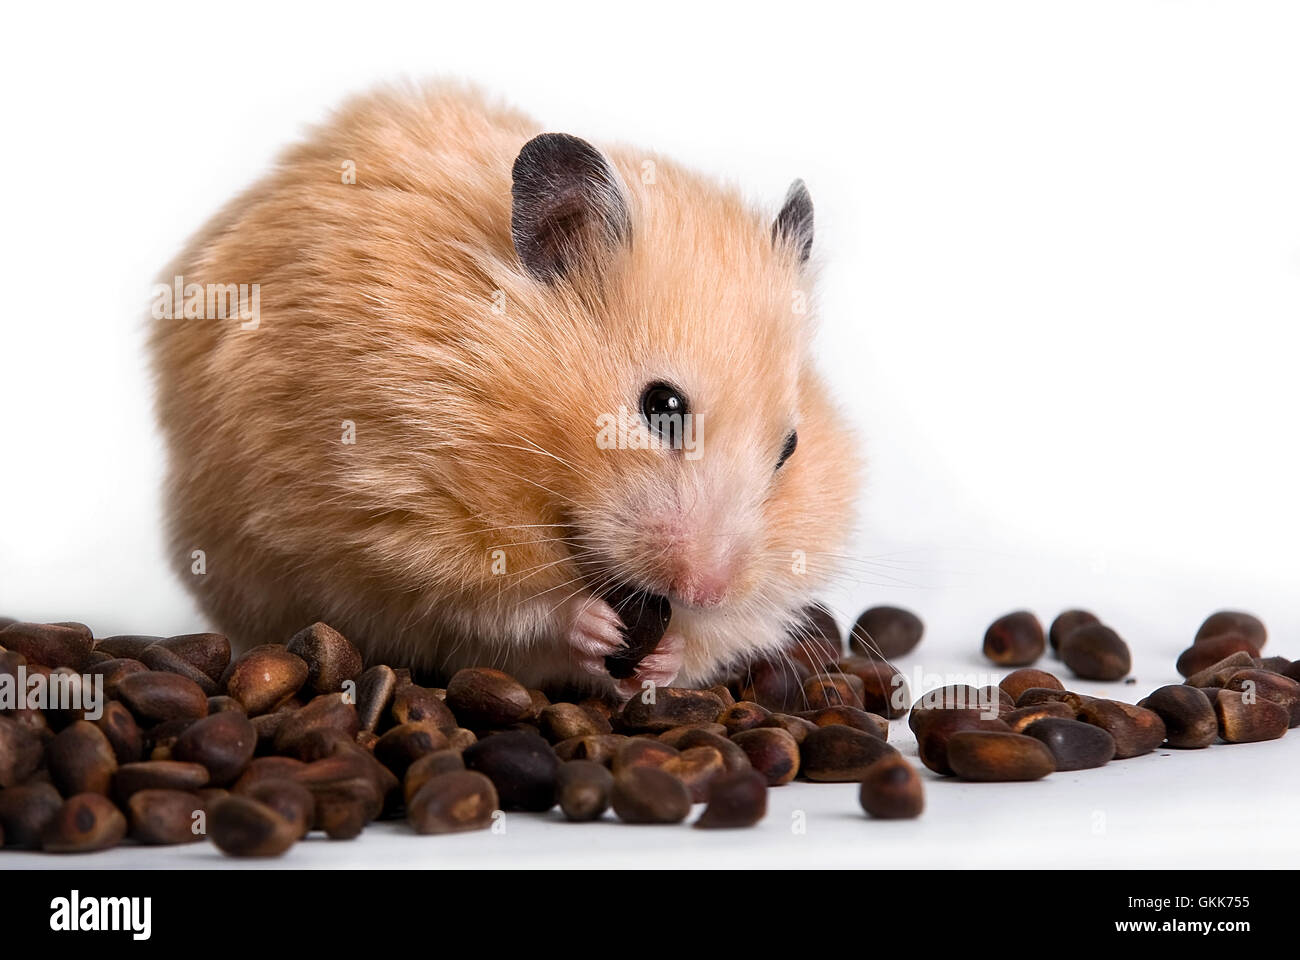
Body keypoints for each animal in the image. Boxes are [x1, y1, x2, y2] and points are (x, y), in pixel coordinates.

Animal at [150, 83, 860, 697]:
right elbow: (502, 601)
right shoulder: (395, 504)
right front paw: (597, 626)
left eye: (790, 447)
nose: (707, 590)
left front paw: (666, 654)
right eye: (661, 407)